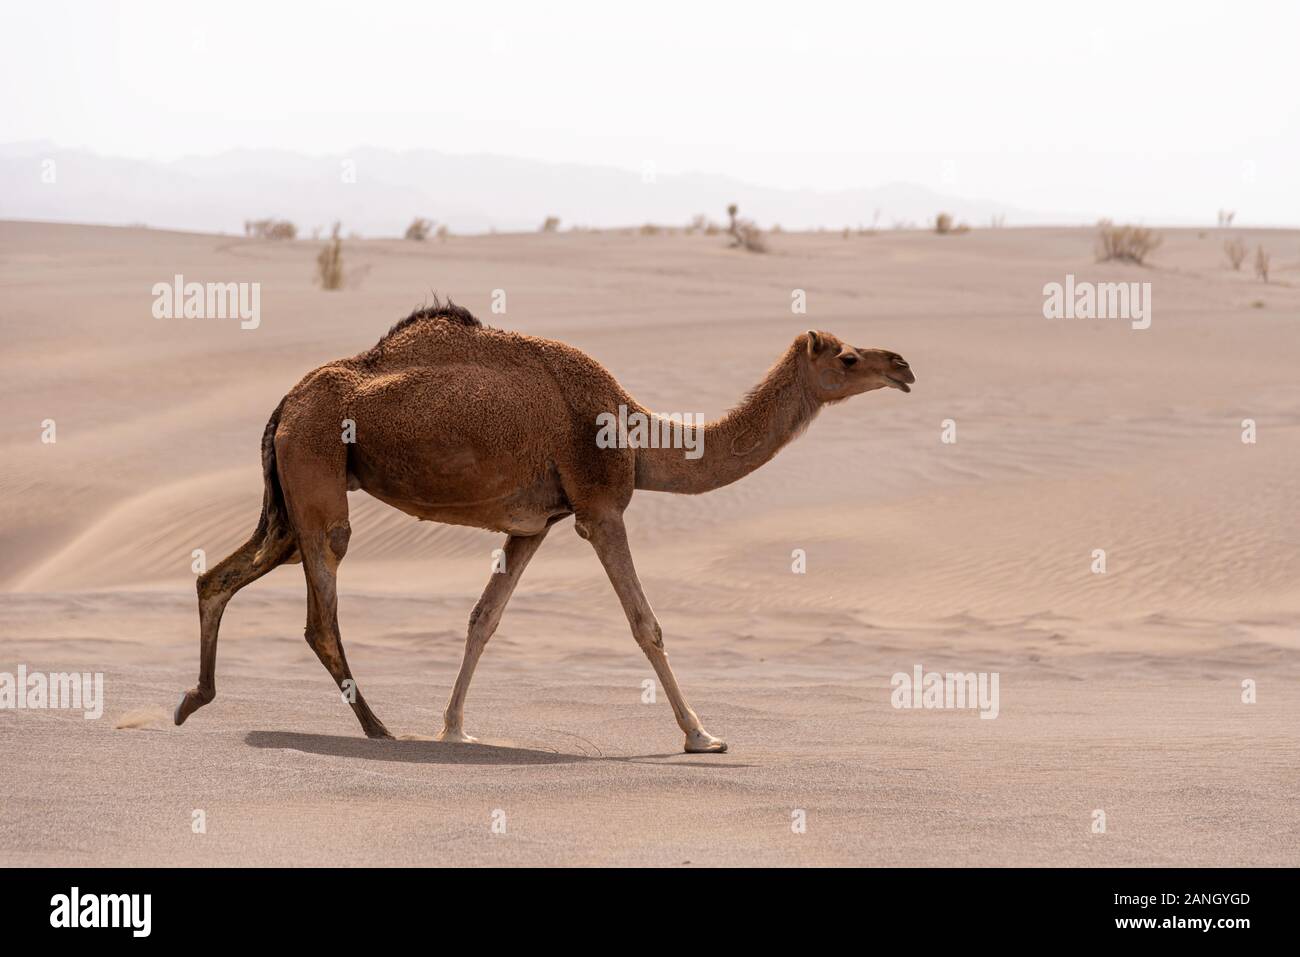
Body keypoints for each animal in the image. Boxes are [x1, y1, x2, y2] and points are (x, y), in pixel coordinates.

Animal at [175, 301, 914, 753]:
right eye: (848, 357)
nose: (903, 365)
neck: (639, 437)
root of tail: (286, 402)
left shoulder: (535, 526)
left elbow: (483, 620)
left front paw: (455, 729)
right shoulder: (599, 507)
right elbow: (645, 623)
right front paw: (702, 735)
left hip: (292, 497)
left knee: (221, 577)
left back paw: (192, 700)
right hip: (319, 472)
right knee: (319, 612)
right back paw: (378, 728)